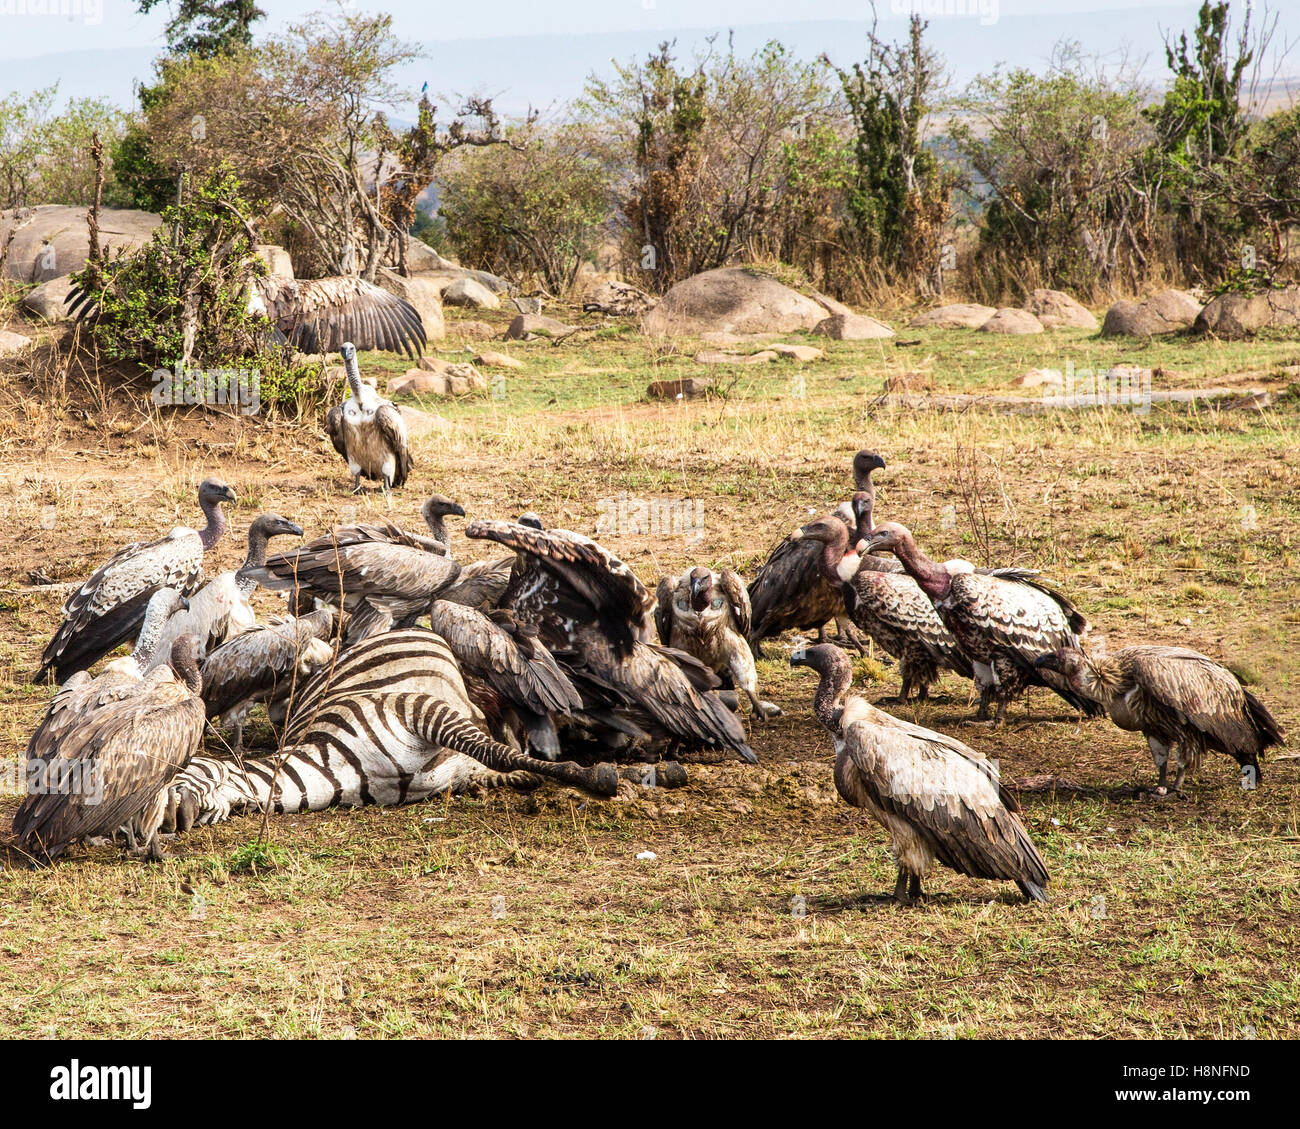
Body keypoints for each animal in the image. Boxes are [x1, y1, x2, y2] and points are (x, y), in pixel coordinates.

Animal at [162, 628, 617, 831]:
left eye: (172, 773)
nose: (160, 824)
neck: (339, 771)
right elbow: (491, 763)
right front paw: (518, 778)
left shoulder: (417, 709)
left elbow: (495, 752)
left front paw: (599, 776)